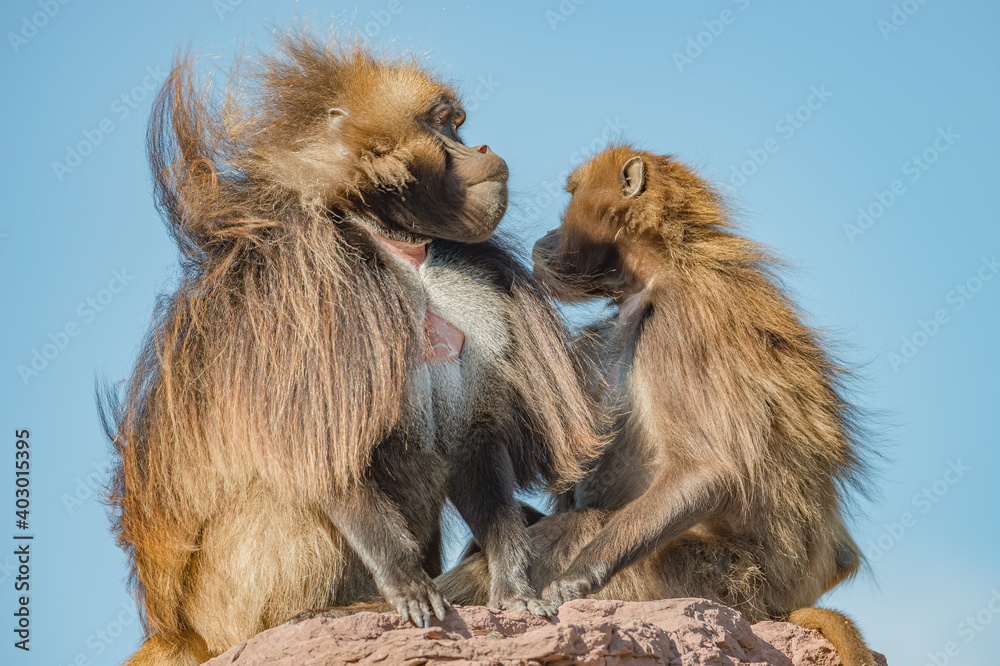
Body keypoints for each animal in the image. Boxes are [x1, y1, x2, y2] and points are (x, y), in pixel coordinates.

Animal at [99, 34, 603, 665]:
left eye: (457, 126)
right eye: (441, 124)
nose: (483, 147)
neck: (395, 249)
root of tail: (178, 632)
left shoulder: (474, 297)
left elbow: (473, 440)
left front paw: (513, 585)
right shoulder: (309, 286)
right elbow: (322, 451)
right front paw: (405, 581)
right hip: (223, 606)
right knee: (287, 491)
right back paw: (322, 615)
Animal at [436, 145, 876, 666]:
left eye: (570, 197)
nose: (545, 235)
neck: (661, 270)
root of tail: (778, 603)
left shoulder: (671, 327)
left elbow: (706, 471)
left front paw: (574, 577)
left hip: (704, 579)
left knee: (579, 528)